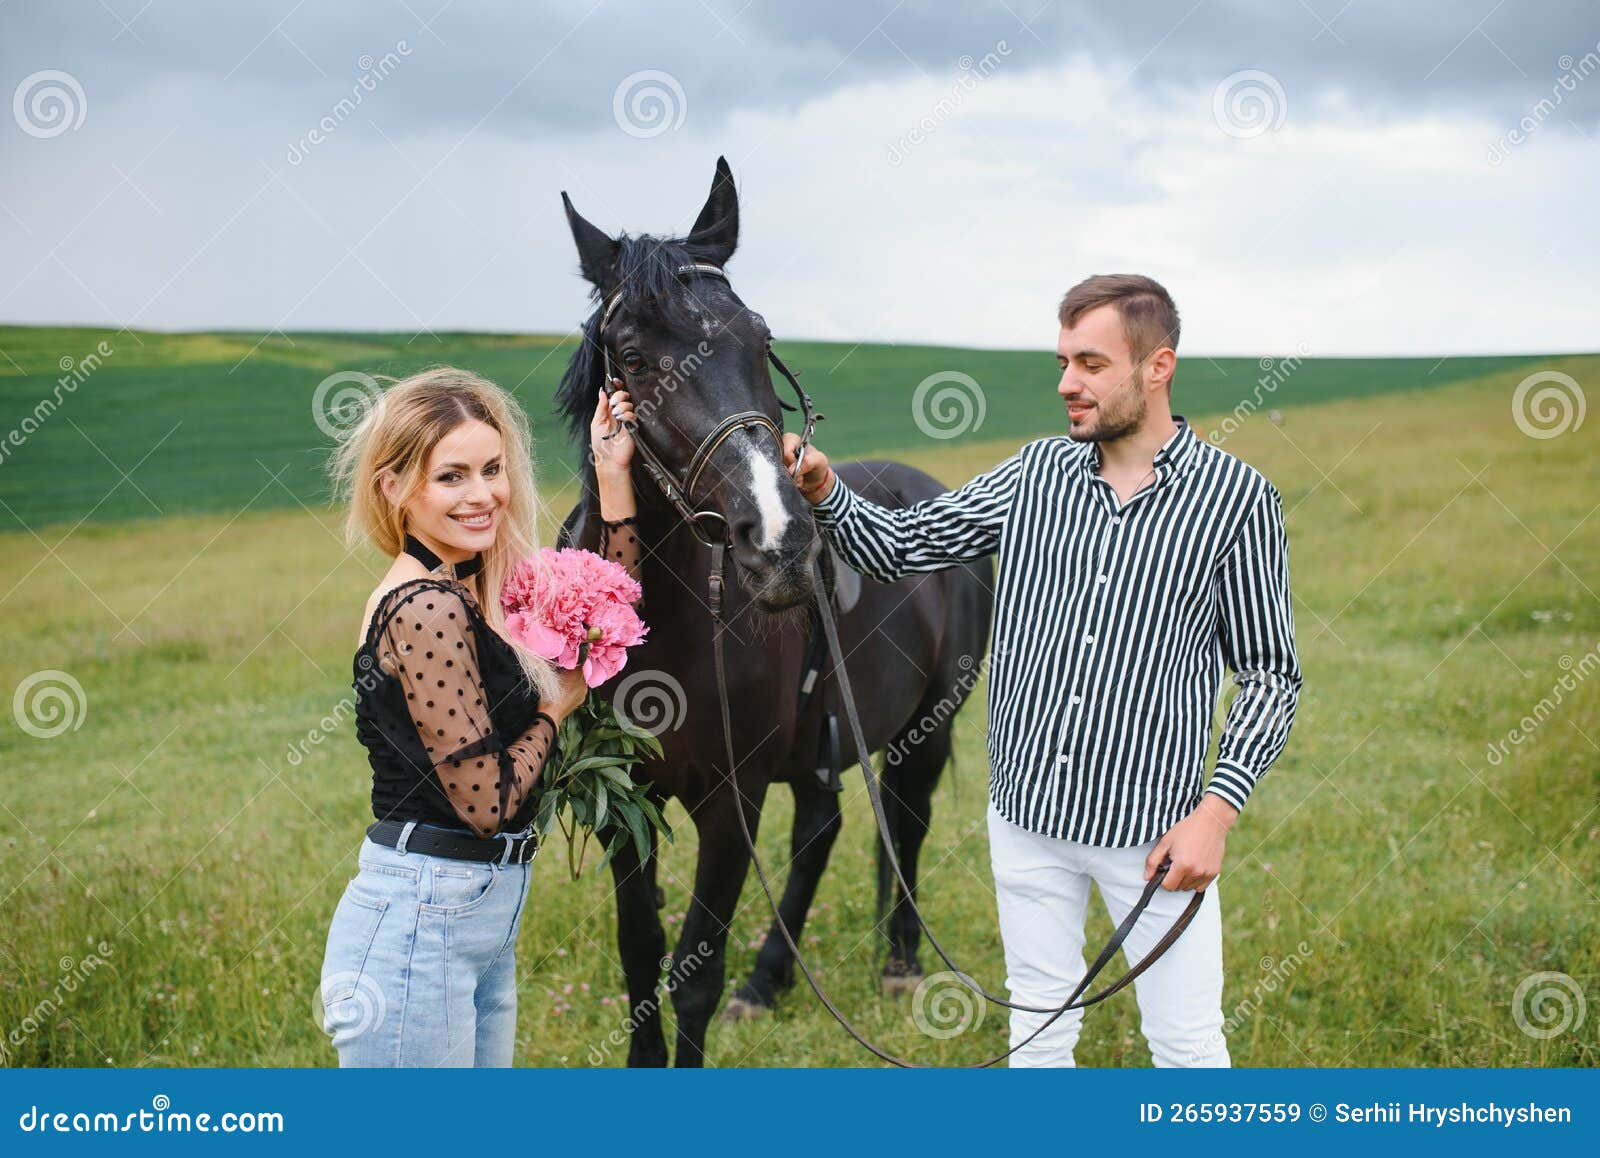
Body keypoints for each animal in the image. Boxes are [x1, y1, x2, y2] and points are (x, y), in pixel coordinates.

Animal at [553, 157, 993, 1066]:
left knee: (906, 825)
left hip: (922, 730)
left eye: (759, 339)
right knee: (821, 831)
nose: (782, 542)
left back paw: (898, 964)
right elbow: (640, 952)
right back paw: (770, 981)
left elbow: (694, 970)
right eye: (634, 357)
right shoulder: (625, 800)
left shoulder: (734, 800)